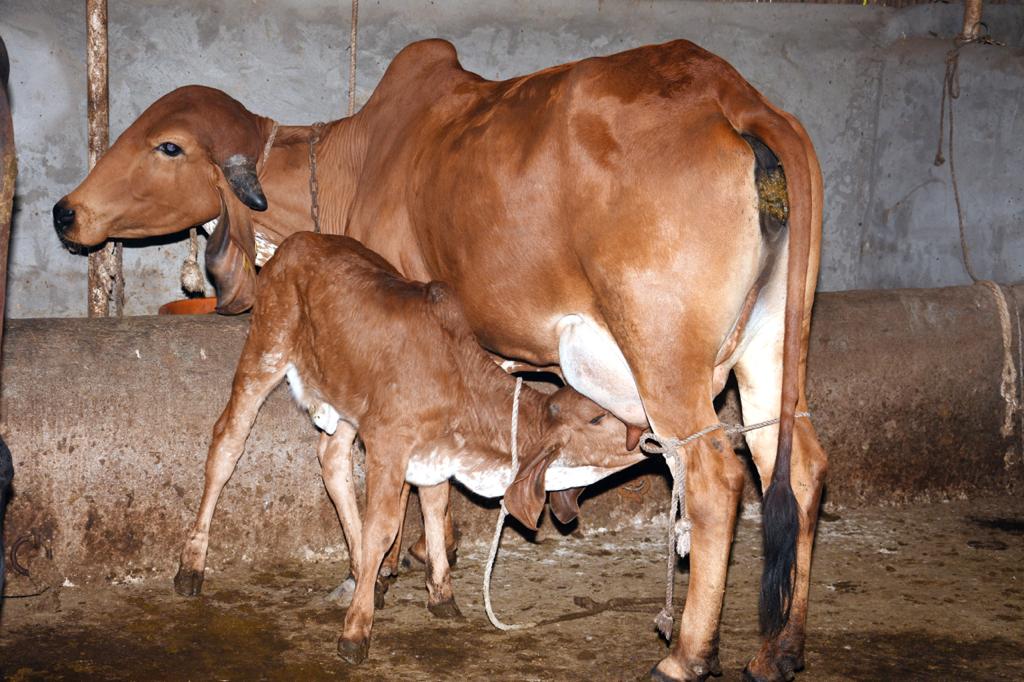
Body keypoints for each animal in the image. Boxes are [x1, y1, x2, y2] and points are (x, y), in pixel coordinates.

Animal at [180, 231, 643, 663]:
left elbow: (434, 510)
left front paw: (441, 594)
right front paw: (356, 631)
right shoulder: (389, 444)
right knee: (226, 444)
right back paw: (190, 567)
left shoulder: (433, 455)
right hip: (265, 350)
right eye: (597, 418)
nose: (644, 433)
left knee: (331, 461)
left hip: (346, 401)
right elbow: (382, 527)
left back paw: (363, 572)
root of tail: (297, 239)